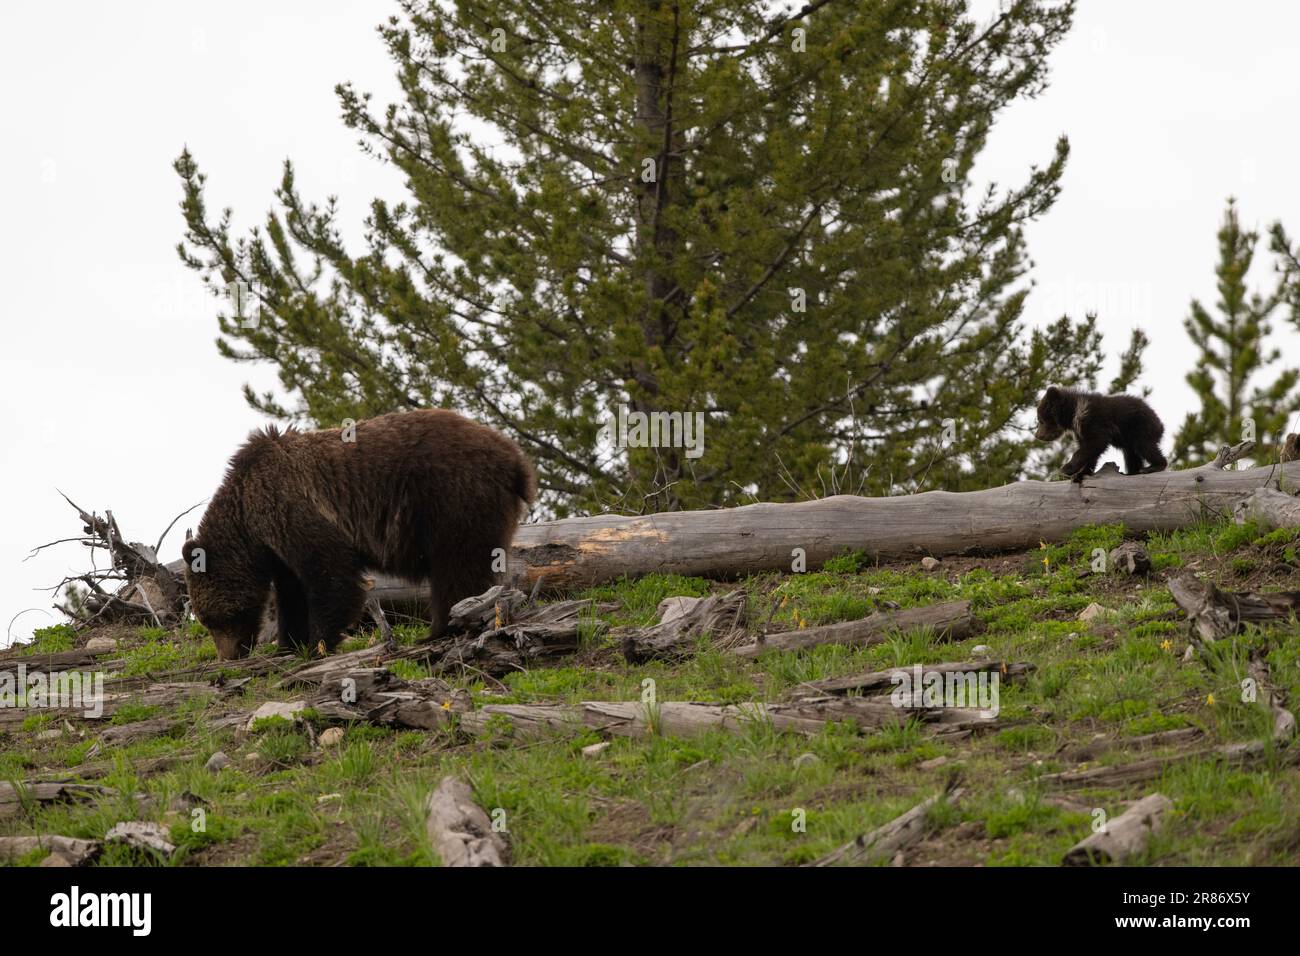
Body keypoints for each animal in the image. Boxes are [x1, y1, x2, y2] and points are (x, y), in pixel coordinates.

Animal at [182, 409, 535, 660]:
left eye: (211, 618)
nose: (228, 656)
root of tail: (515, 458)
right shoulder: (279, 547)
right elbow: (291, 593)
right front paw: (288, 644)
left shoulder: (295, 507)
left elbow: (330, 575)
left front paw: (319, 642)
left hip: (452, 497)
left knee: (458, 566)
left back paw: (441, 629)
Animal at [1034, 386, 1167, 483]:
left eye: (1040, 420)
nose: (1037, 435)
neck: (1075, 413)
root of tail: (1160, 424)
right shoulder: (1081, 432)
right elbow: (1090, 451)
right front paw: (1082, 473)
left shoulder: (1095, 420)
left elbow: (1095, 444)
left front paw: (1064, 471)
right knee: (1131, 455)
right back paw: (1132, 472)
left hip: (1141, 428)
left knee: (1144, 446)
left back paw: (1153, 467)